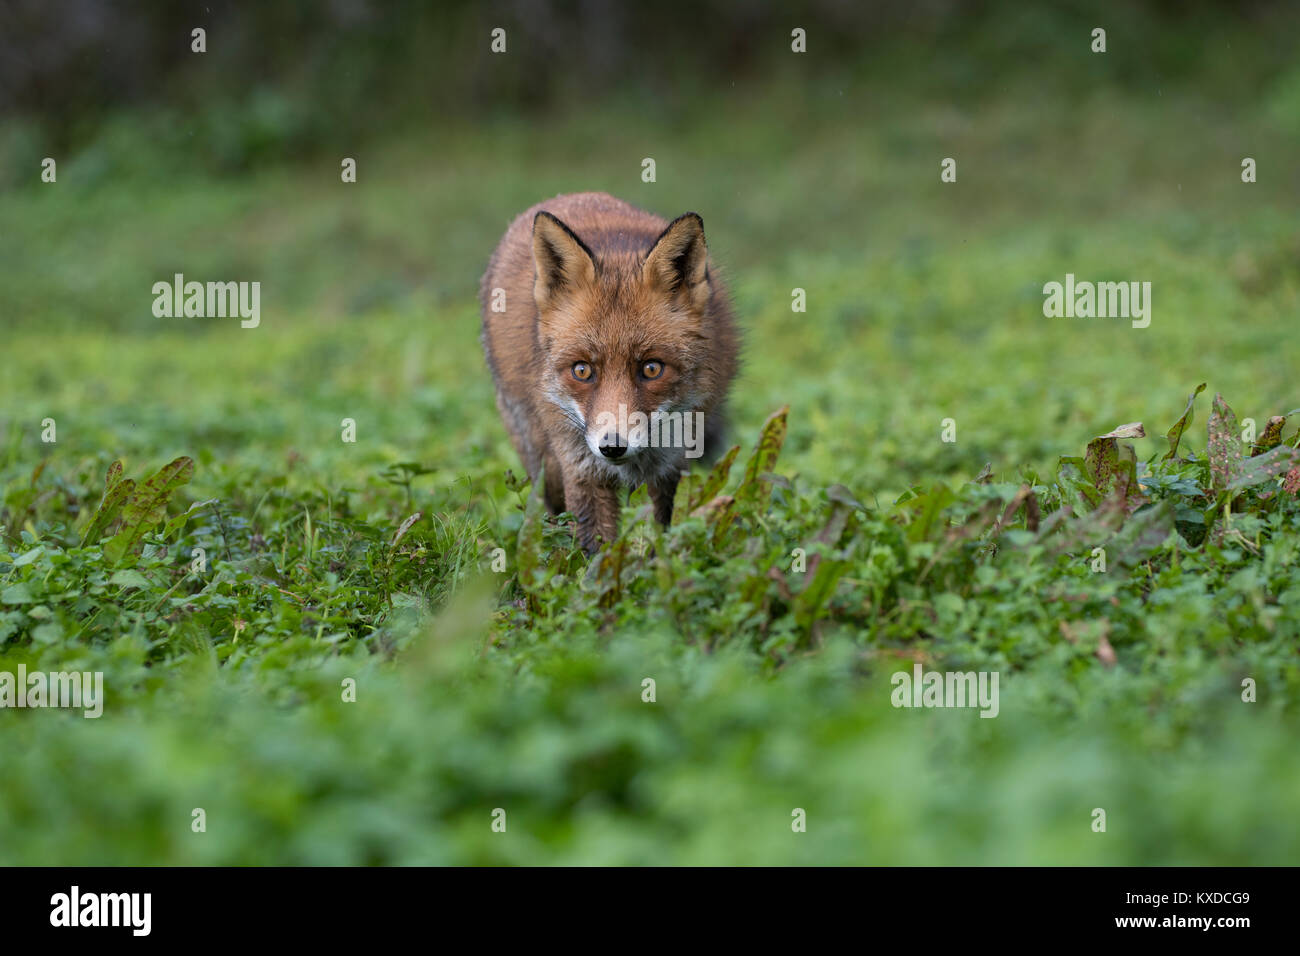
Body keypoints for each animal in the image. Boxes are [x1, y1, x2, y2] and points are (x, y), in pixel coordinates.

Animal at [480, 191, 739, 554]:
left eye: (651, 368)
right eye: (582, 370)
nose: (612, 446)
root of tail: (574, 195)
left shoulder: (669, 465)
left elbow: (658, 530)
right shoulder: (581, 465)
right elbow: (595, 546)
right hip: (538, 451)